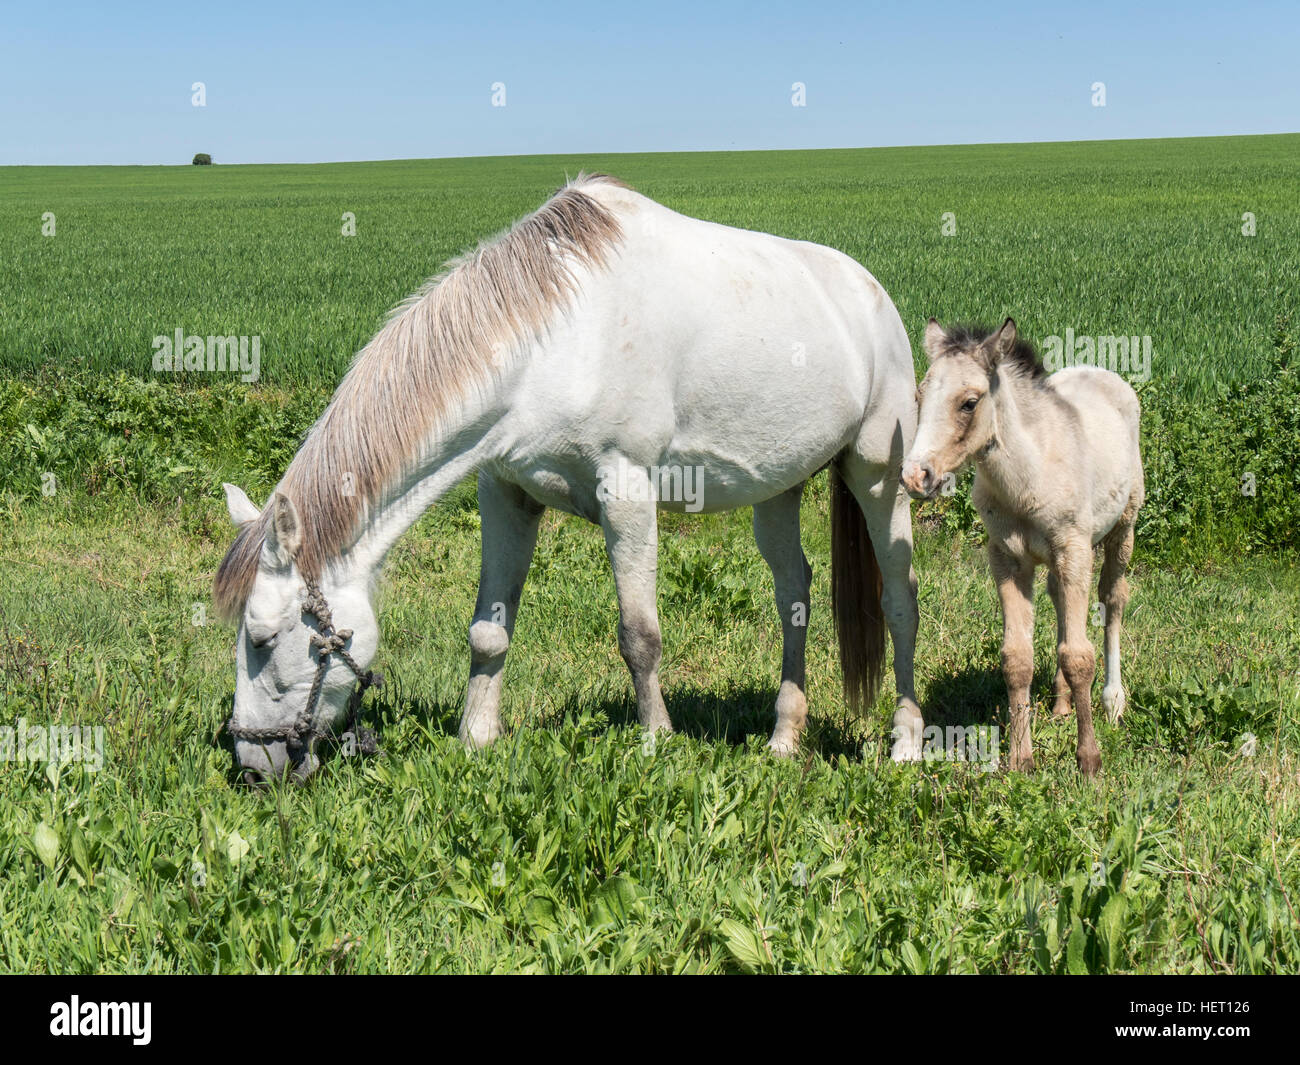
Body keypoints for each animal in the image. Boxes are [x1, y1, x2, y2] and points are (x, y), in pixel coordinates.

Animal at [215, 174, 924, 783]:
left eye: (264, 638)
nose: (252, 766)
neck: (553, 343)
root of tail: (874, 295)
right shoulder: (504, 493)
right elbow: (488, 630)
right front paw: (477, 737)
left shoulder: (628, 492)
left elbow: (640, 636)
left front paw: (657, 741)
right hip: (778, 489)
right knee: (793, 594)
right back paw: (783, 738)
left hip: (879, 477)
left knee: (900, 596)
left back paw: (908, 743)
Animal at [900, 318, 1144, 776]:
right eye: (920, 397)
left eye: (969, 402)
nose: (915, 476)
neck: (1028, 477)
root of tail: (1100, 370)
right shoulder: (1007, 558)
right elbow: (1017, 658)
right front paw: (1020, 759)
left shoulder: (1074, 549)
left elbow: (1079, 656)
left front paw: (1089, 761)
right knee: (1061, 603)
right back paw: (1061, 704)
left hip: (1124, 526)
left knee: (1113, 599)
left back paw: (1113, 701)